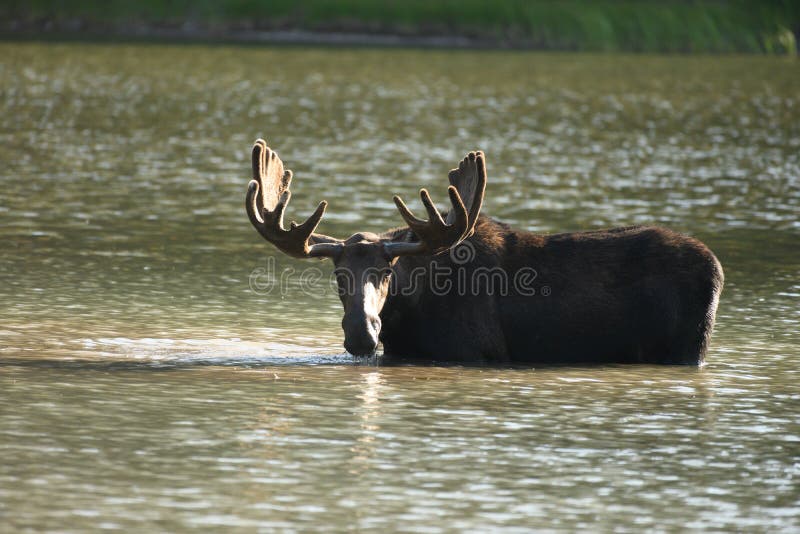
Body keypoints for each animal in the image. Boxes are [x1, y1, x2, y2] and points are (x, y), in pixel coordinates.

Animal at [245, 139, 723, 365]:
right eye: (338, 274)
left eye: (386, 273)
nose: (362, 334)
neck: (409, 315)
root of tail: (717, 265)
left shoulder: (476, 351)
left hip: (688, 346)